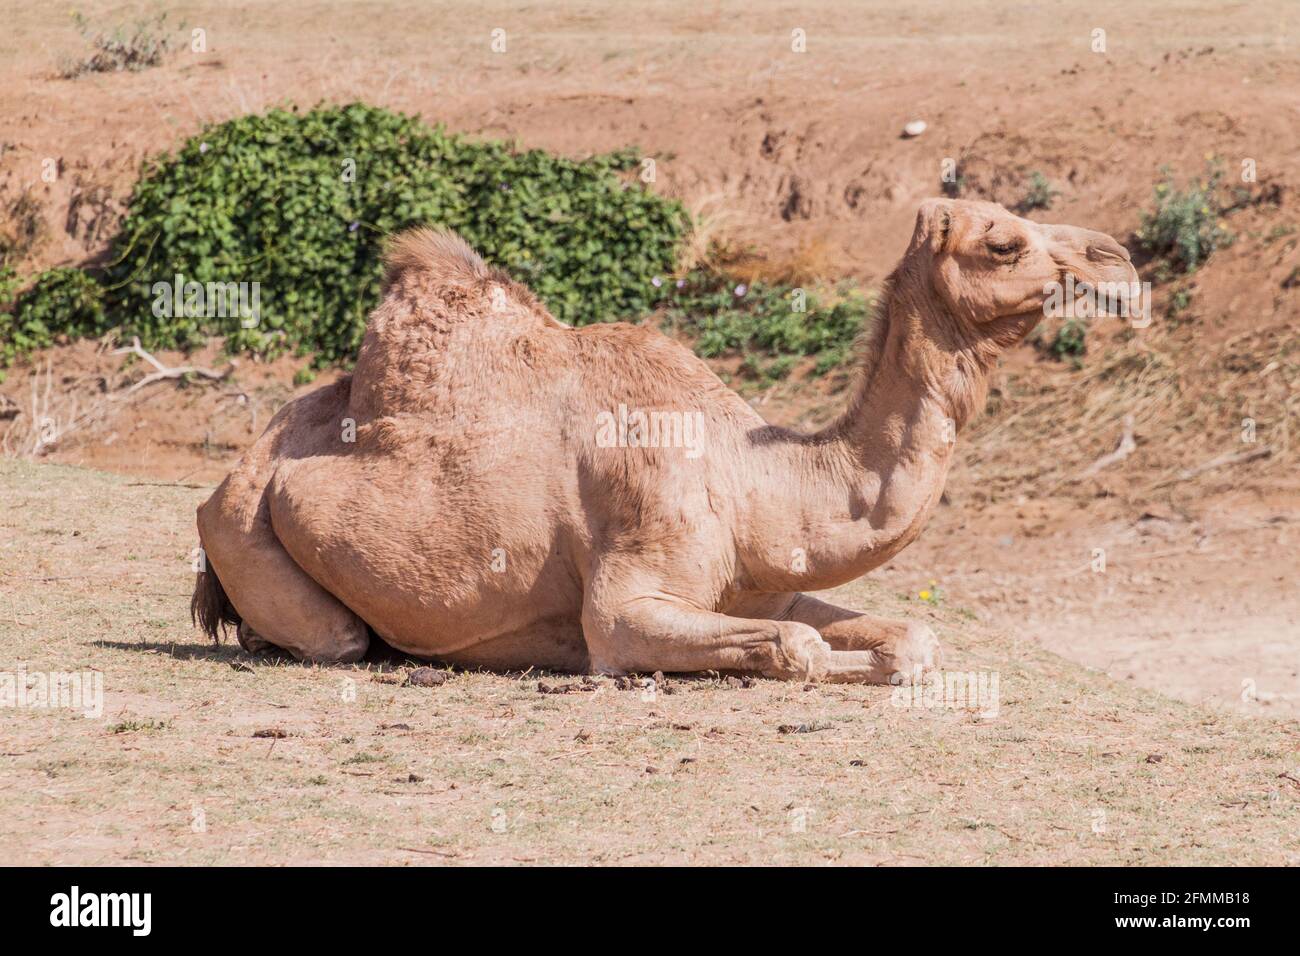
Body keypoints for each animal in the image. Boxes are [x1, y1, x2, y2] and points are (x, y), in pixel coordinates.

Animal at [192, 199, 1138, 683]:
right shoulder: (636, 583)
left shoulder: (764, 579)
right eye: (1004, 242)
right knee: (333, 637)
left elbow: (906, 639)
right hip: (242, 528)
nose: (1118, 260)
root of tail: (235, 470)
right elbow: (792, 650)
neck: (753, 477)